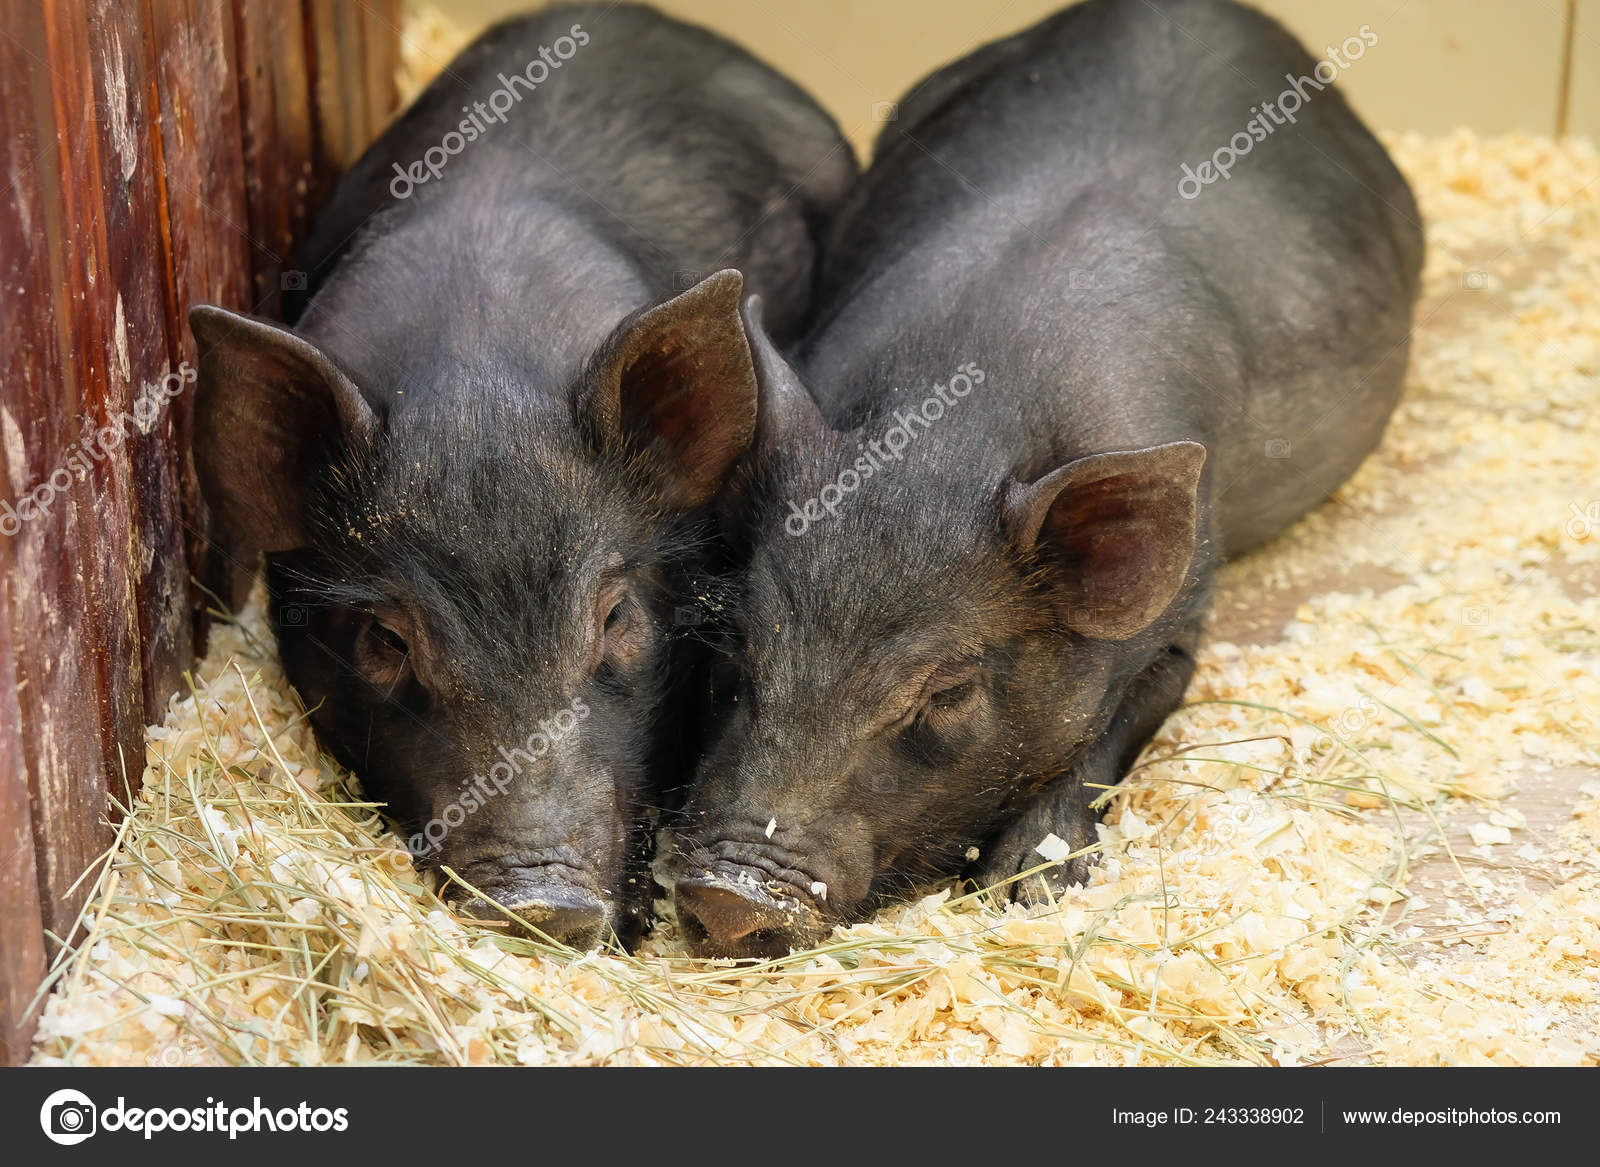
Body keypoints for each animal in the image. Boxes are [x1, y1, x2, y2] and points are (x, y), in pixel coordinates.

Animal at [665, 0, 1422, 957]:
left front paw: (1028, 884)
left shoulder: (1186, 612)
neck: (955, 426)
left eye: (948, 688)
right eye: (735, 643)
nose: (728, 891)